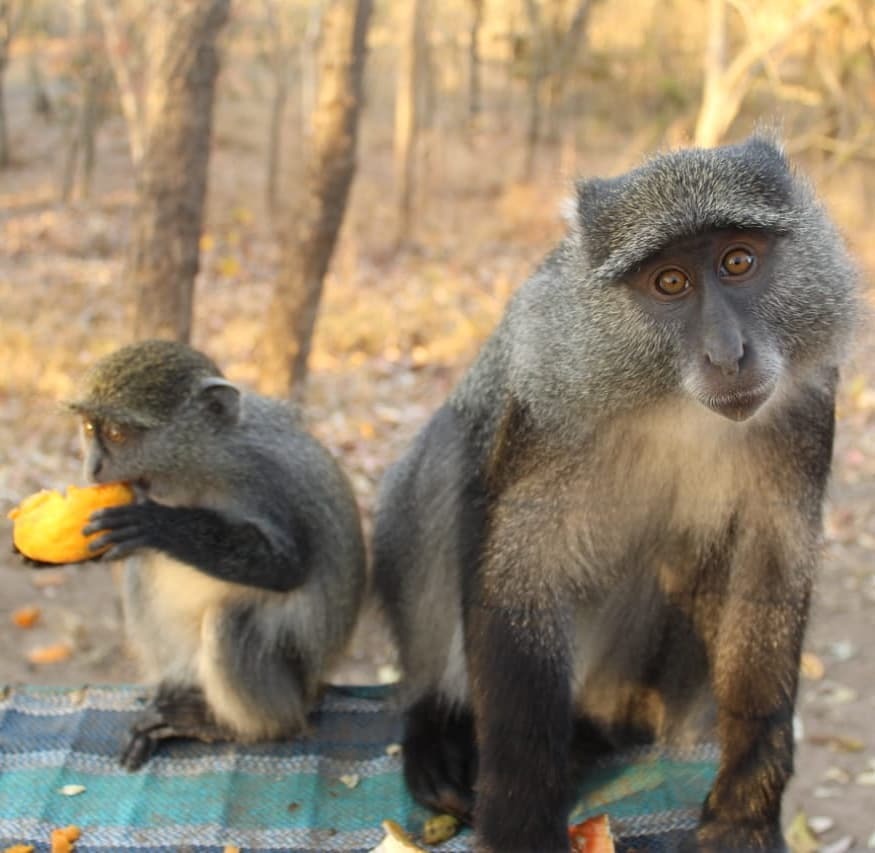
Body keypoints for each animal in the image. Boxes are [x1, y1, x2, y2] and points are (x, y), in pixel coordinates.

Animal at [65, 340, 366, 771]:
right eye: (90, 428)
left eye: (118, 433)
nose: (92, 469)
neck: (202, 466)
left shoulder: (265, 482)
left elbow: (286, 567)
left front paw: (156, 524)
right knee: (142, 568)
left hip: (287, 687)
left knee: (229, 622)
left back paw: (237, 725)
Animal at [373, 135, 859, 852]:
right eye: (670, 282)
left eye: (737, 261)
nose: (728, 352)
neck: (675, 404)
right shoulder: (551, 398)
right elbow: (520, 574)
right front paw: (519, 820)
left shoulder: (803, 408)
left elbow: (764, 575)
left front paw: (745, 809)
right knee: (444, 451)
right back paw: (436, 724)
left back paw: (594, 734)